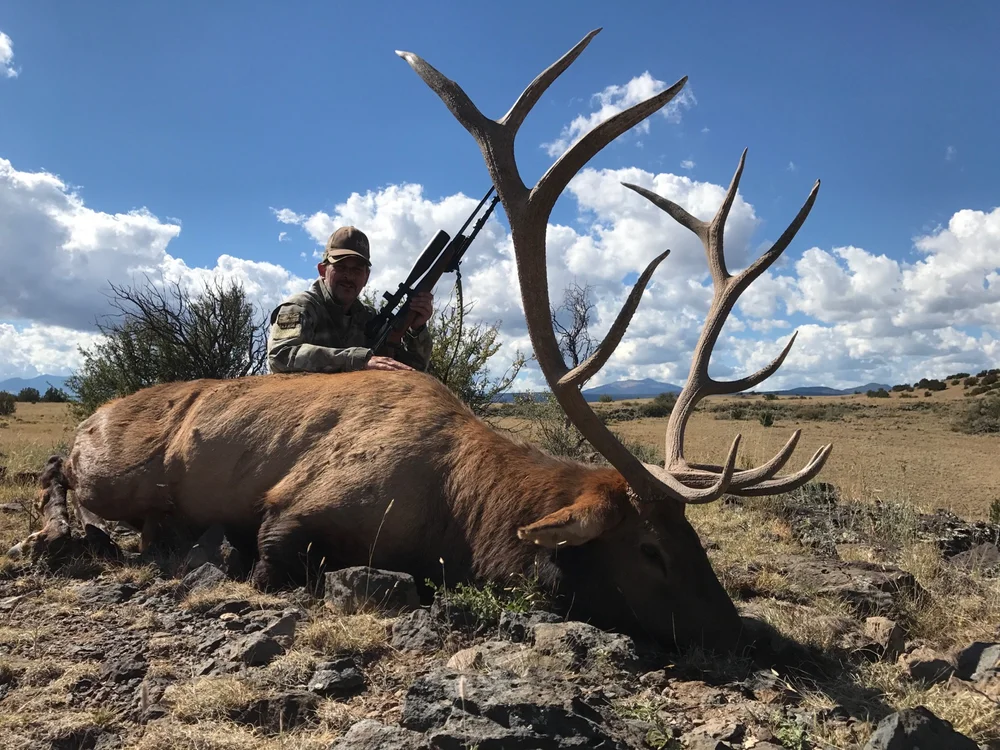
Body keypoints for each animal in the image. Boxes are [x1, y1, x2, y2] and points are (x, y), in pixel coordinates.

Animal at [10, 29, 831, 653]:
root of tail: (90, 417)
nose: (745, 637)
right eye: (649, 548)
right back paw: (71, 535)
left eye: (699, 542)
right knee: (55, 477)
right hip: (109, 467)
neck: (460, 517)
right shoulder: (292, 512)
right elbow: (273, 562)